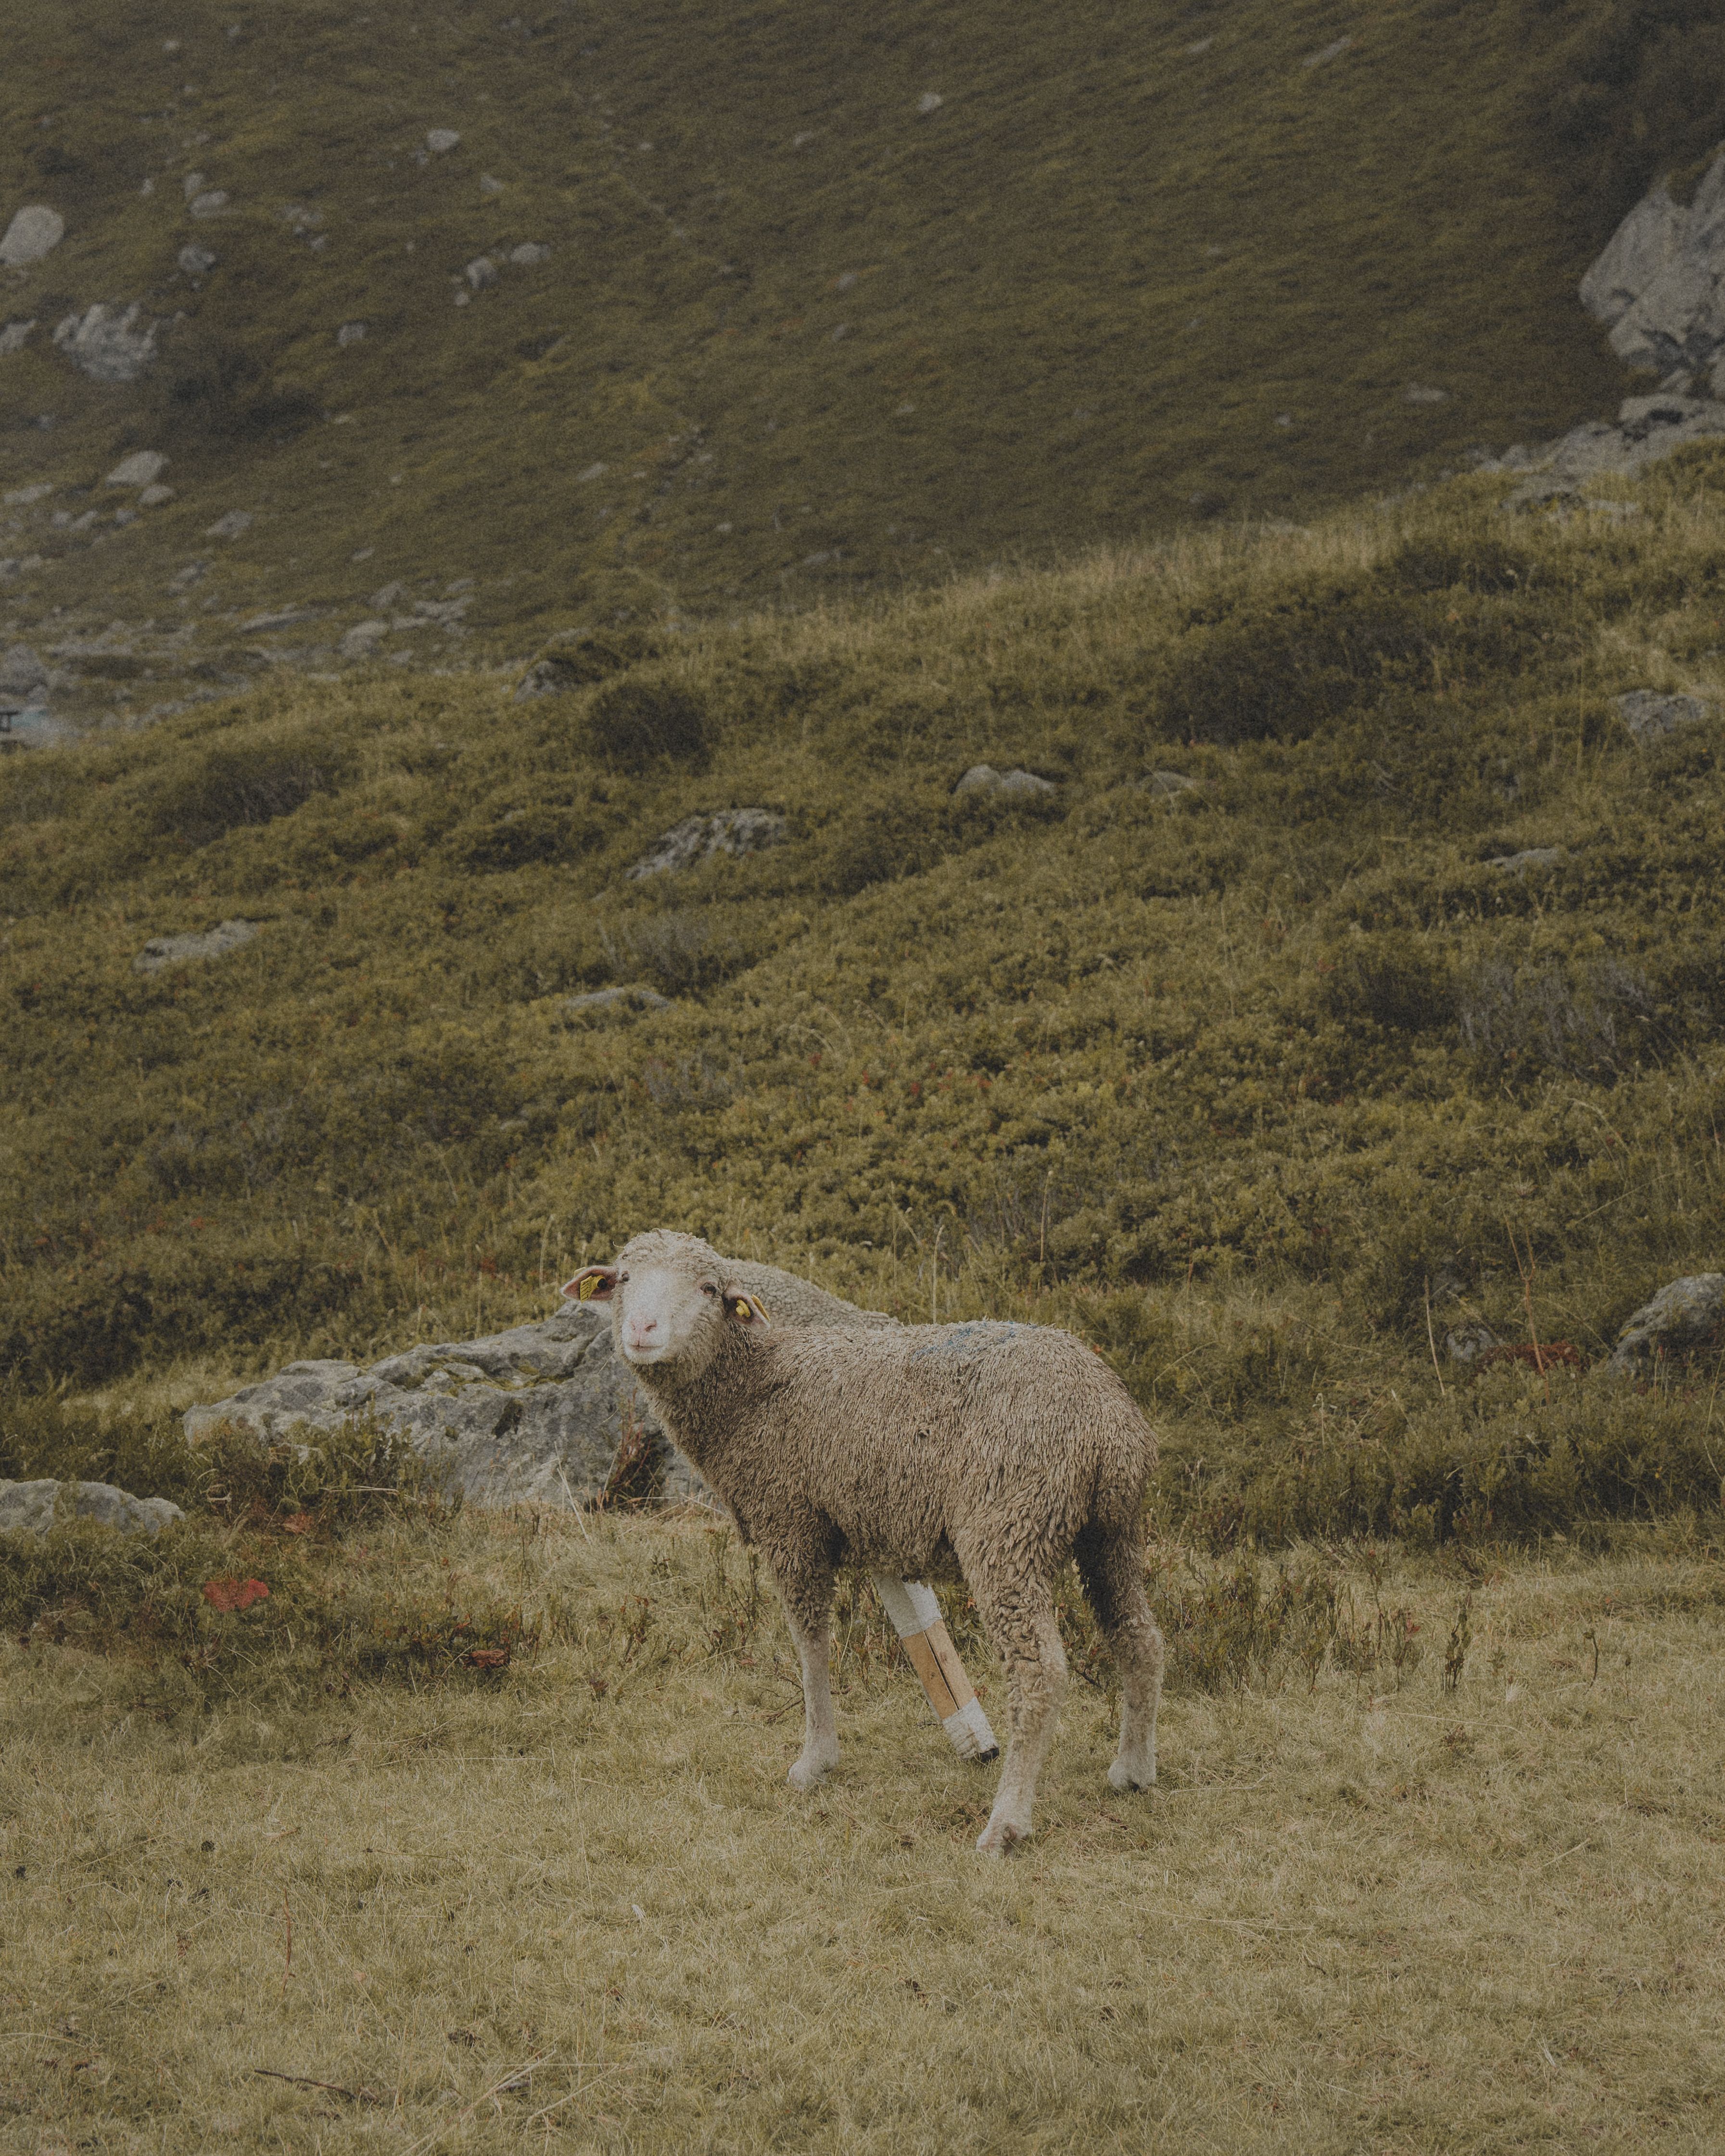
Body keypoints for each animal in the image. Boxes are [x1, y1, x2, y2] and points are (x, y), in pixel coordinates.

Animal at [565, 1229, 1162, 1856]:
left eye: (707, 1288)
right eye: (624, 1280)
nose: (642, 1330)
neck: (755, 1375)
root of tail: (1104, 1417)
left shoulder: (790, 1520)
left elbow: (811, 1646)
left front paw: (815, 1760)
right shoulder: (874, 1531)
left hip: (1006, 1526)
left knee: (1038, 1672)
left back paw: (1006, 1822)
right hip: (1112, 1532)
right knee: (1140, 1638)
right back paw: (1133, 1770)